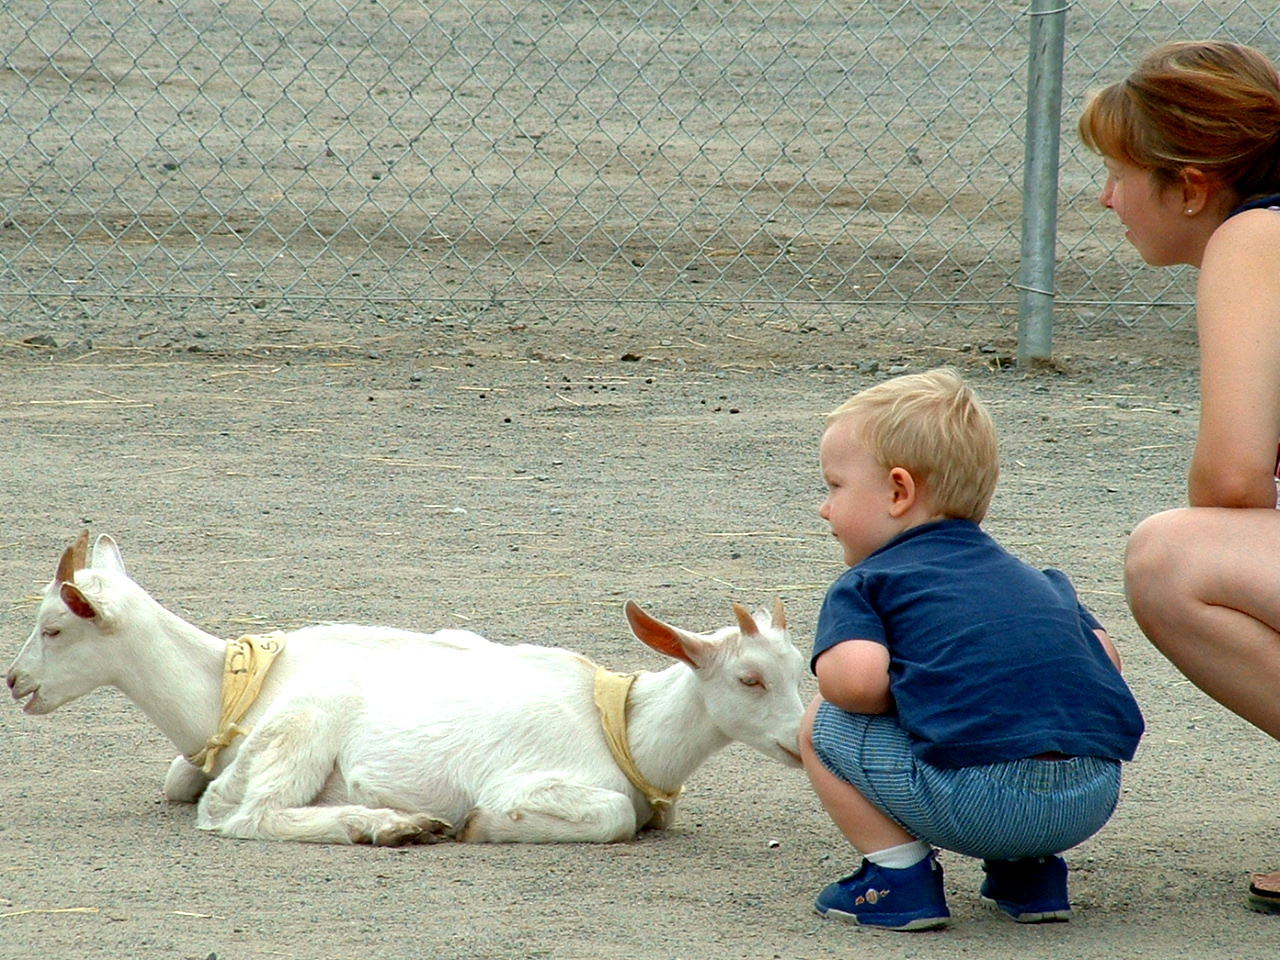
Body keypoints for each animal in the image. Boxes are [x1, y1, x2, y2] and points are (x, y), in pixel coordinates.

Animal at [6, 531, 806, 845]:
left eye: (52, 627)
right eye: (750, 677)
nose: (14, 680)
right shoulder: (544, 776)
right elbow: (606, 815)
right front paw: (481, 822)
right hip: (306, 726)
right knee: (248, 817)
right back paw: (391, 825)